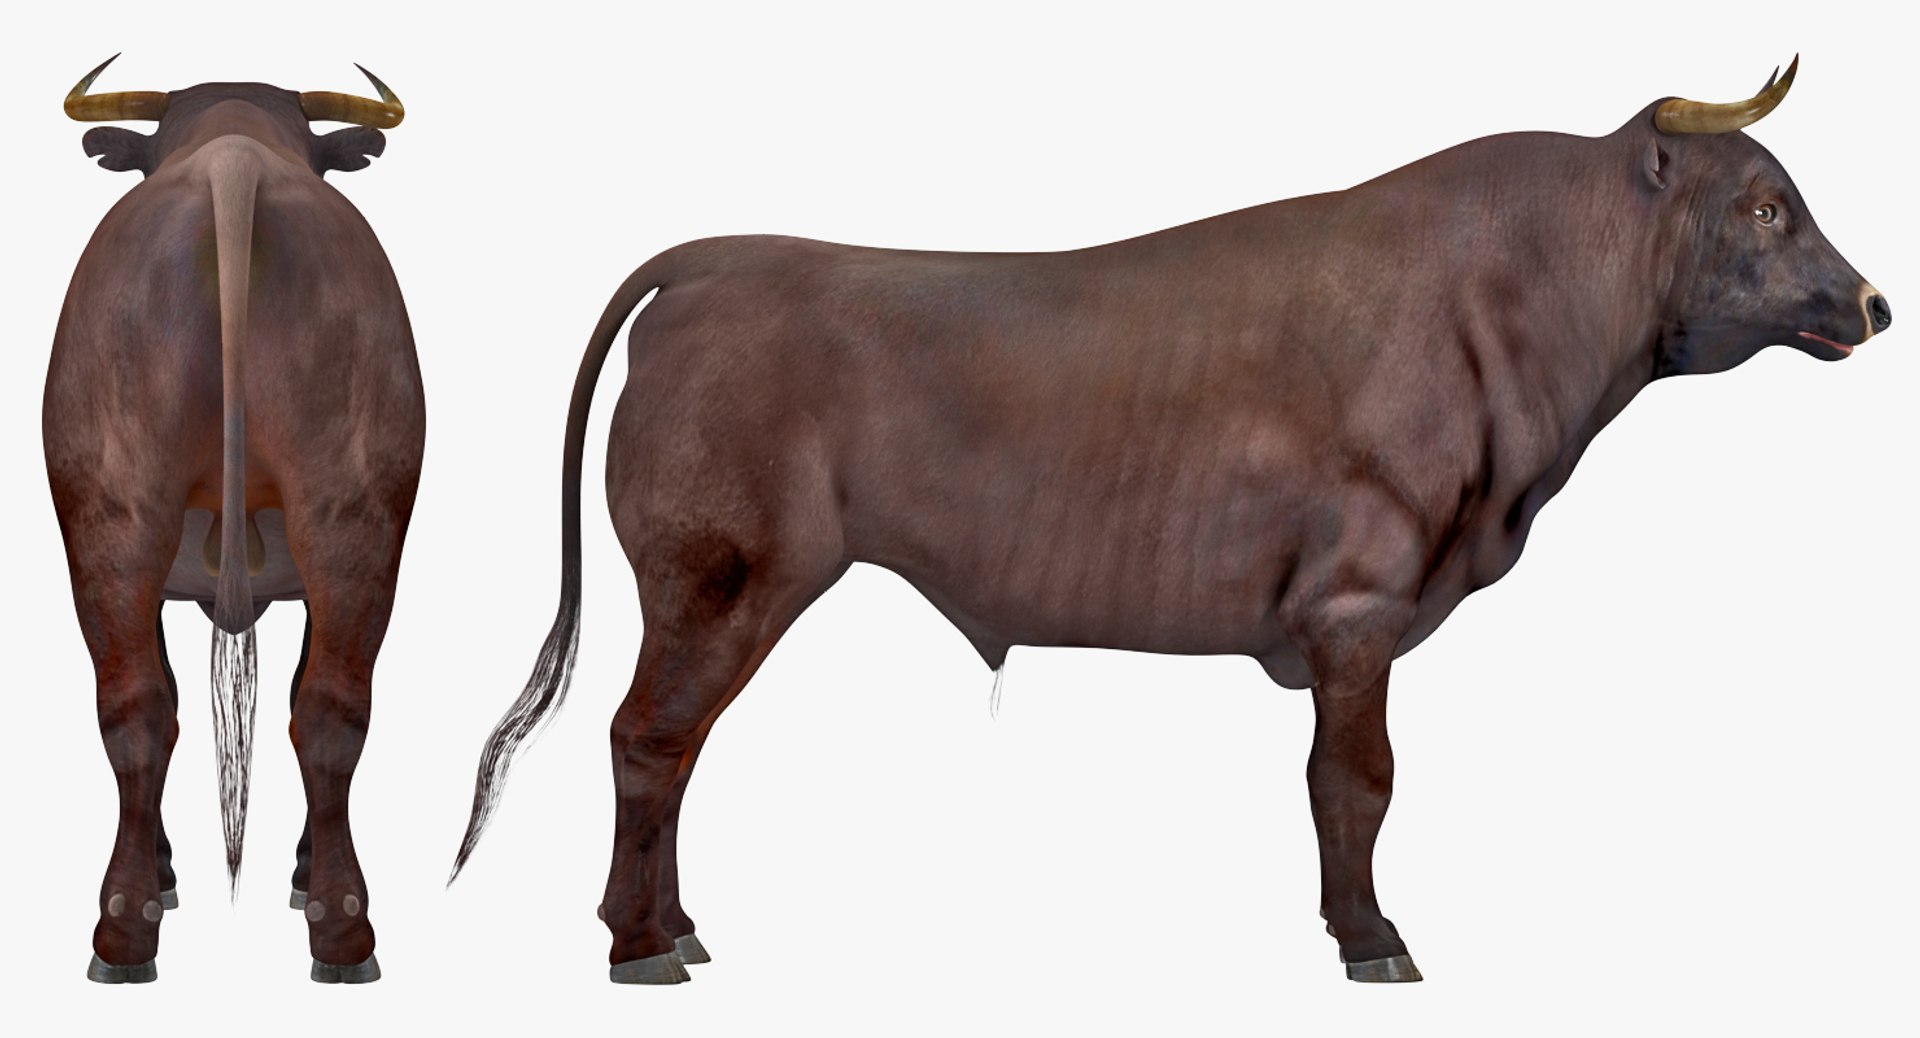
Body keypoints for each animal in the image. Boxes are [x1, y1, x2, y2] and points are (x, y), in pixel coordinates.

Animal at [46, 56, 423, 984]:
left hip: (120, 511)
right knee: (315, 709)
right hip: (345, 510)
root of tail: (232, 161)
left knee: (153, 709)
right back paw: (333, 929)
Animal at [451, 58, 1889, 984]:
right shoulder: (1358, 605)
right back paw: (642, 946)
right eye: (1766, 202)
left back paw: (677, 926)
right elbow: (1361, 780)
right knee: (651, 737)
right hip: (717, 575)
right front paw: (1374, 941)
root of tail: (719, 257)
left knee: (672, 745)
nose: (1876, 303)